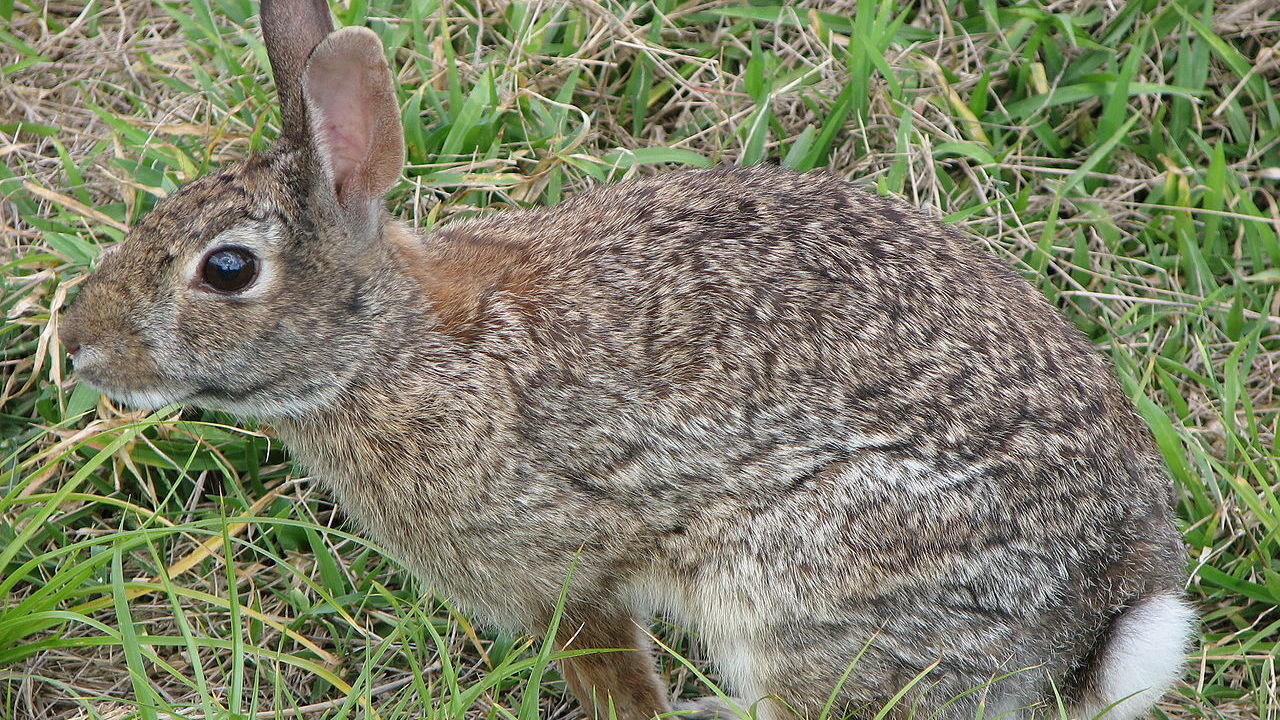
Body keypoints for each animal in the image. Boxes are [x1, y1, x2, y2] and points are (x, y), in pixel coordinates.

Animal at [58, 0, 1195, 718]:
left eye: (227, 268)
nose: (77, 345)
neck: (392, 349)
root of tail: (1105, 604)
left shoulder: (565, 573)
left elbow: (614, 680)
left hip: (804, 584)